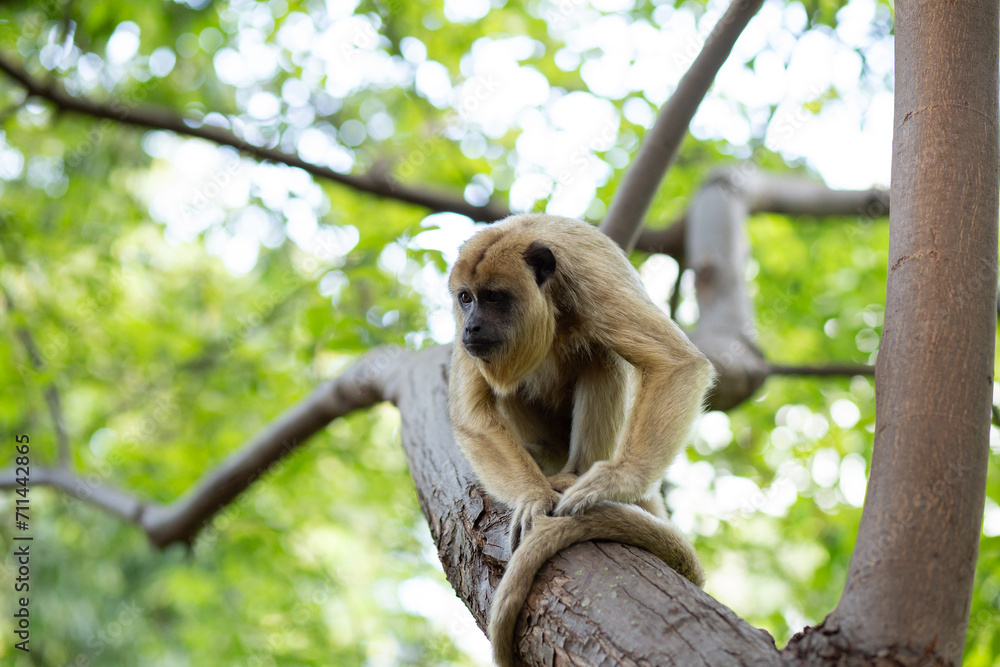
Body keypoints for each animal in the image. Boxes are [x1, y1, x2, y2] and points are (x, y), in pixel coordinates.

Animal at [447, 213, 715, 666]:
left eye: (494, 297)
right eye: (466, 298)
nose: (471, 325)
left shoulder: (589, 279)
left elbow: (674, 362)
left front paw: (620, 479)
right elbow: (472, 414)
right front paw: (532, 496)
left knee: (601, 353)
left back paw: (574, 473)